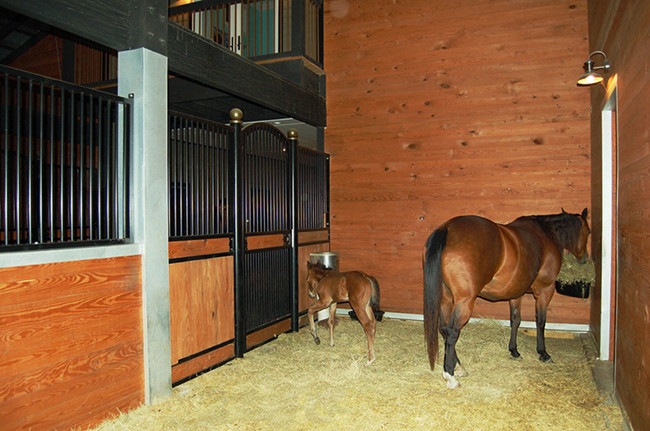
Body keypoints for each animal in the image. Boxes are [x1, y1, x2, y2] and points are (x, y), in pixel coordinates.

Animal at [423, 208, 591, 389]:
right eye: (588, 231)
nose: (585, 259)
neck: (545, 234)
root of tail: (447, 228)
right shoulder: (545, 290)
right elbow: (540, 321)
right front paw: (543, 353)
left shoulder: (516, 294)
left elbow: (515, 320)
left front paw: (514, 351)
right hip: (464, 302)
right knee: (452, 331)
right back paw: (451, 376)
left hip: (446, 299)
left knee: (444, 329)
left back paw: (458, 366)